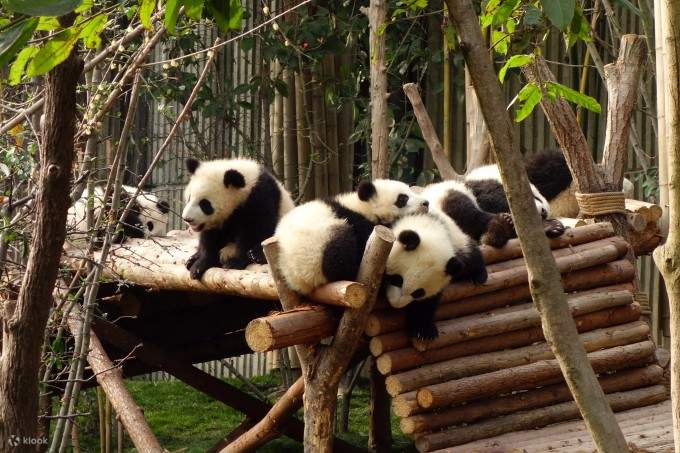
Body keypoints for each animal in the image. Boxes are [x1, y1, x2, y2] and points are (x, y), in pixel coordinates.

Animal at [275, 179, 429, 295]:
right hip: (317, 248)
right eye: (402, 198)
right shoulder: (356, 220)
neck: (364, 207)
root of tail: (296, 280)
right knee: (338, 256)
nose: (425, 203)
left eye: (410, 190)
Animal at [384, 209, 488, 340]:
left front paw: (424, 331)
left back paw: (479, 276)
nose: (396, 304)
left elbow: (427, 304)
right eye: (397, 279)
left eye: (418, 293)